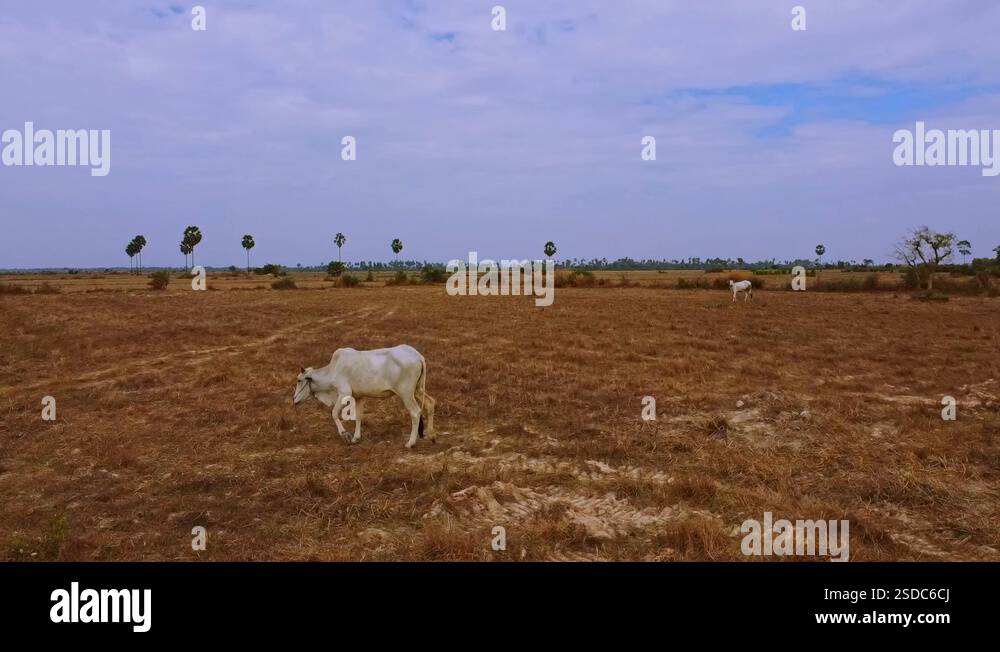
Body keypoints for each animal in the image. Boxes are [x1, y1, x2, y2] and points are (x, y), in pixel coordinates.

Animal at [293, 345, 435, 448]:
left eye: (299, 380)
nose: (294, 400)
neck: (332, 370)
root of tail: (417, 355)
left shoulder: (344, 393)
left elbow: (334, 413)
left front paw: (345, 434)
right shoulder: (359, 397)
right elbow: (358, 416)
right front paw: (356, 438)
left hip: (406, 393)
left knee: (415, 413)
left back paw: (410, 443)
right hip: (417, 390)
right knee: (430, 403)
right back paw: (432, 436)